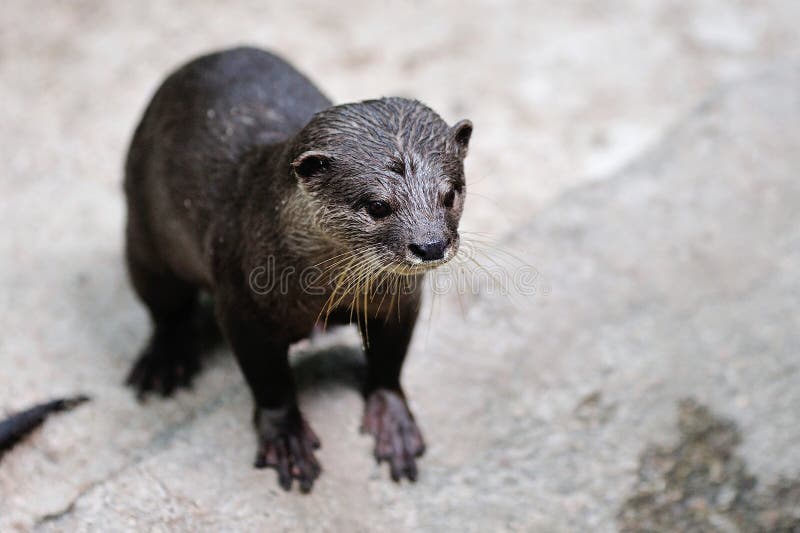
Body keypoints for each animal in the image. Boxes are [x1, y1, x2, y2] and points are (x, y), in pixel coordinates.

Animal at [124, 46, 472, 492]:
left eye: (449, 195)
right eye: (377, 206)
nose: (431, 246)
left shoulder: (401, 299)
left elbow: (389, 362)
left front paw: (393, 423)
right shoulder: (242, 307)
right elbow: (269, 381)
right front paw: (286, 439)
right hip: (144, 237)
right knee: (164, 305)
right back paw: (165, 360)